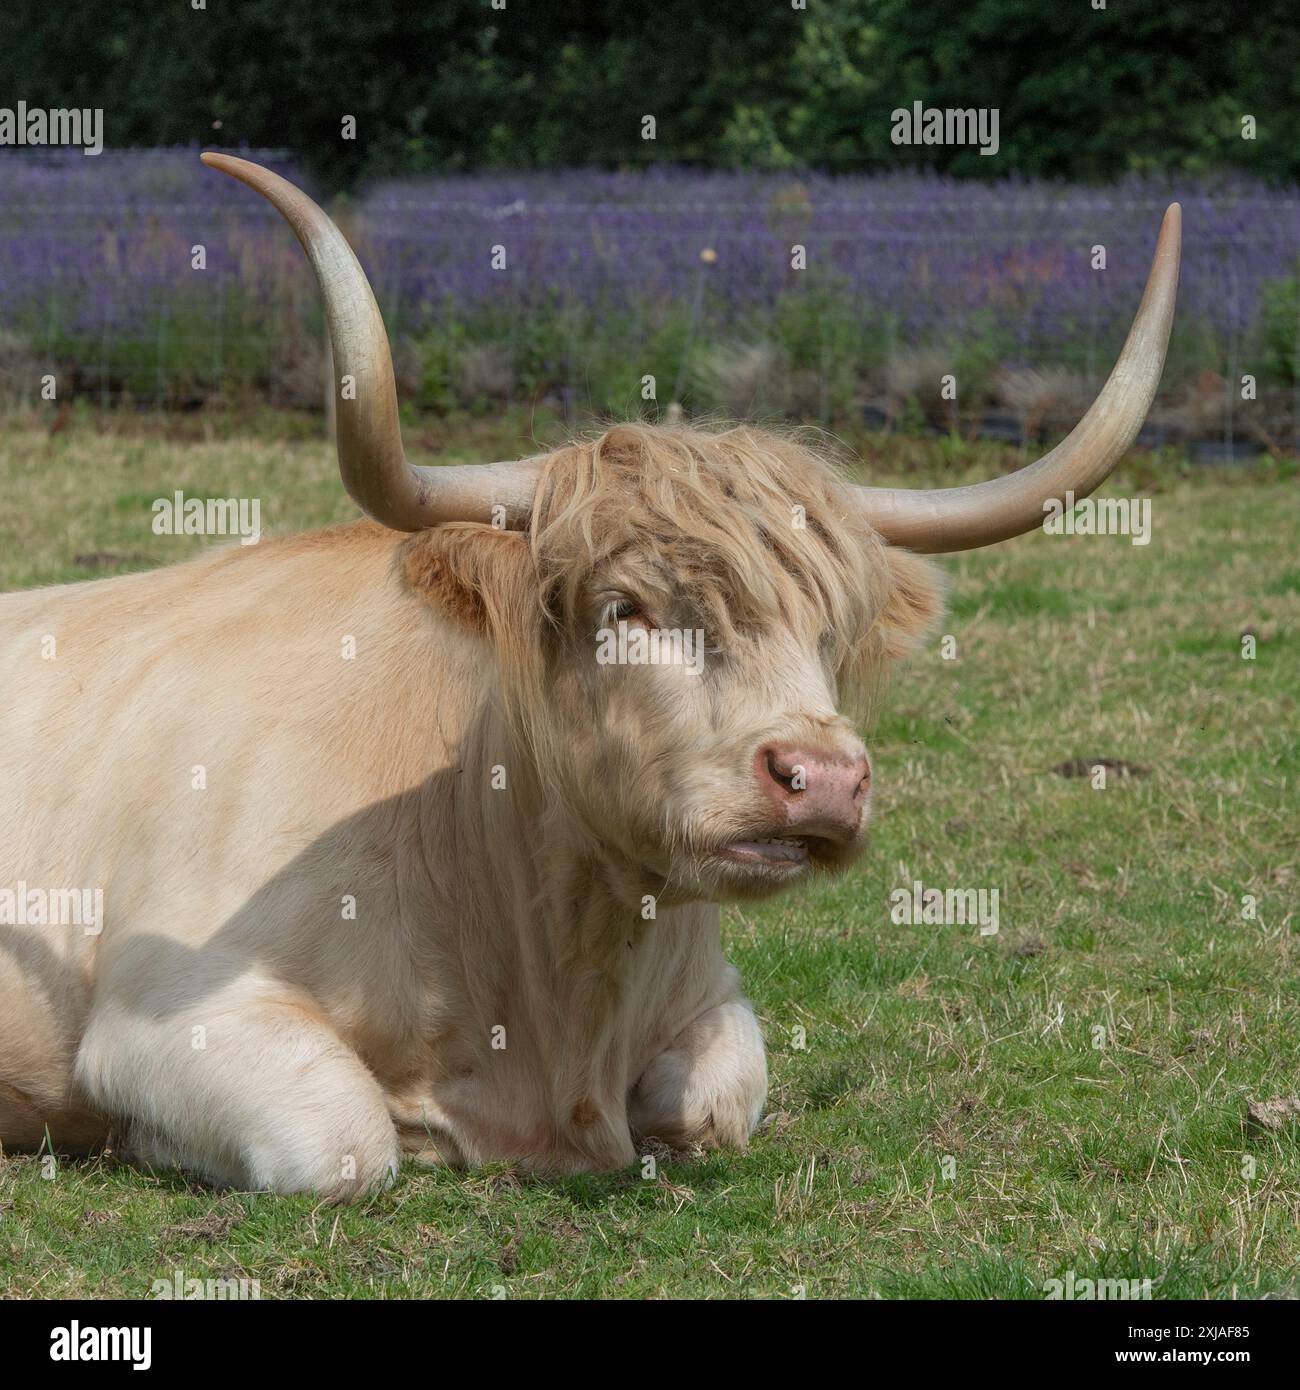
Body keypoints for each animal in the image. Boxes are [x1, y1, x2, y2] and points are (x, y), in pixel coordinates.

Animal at [0, 156, 1180, 1198]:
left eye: (830, 629)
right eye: (625, 609)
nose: (824, 780)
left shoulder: (708, 1002)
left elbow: (716, 1098)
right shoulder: (166, 1016)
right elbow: (343, 1139)